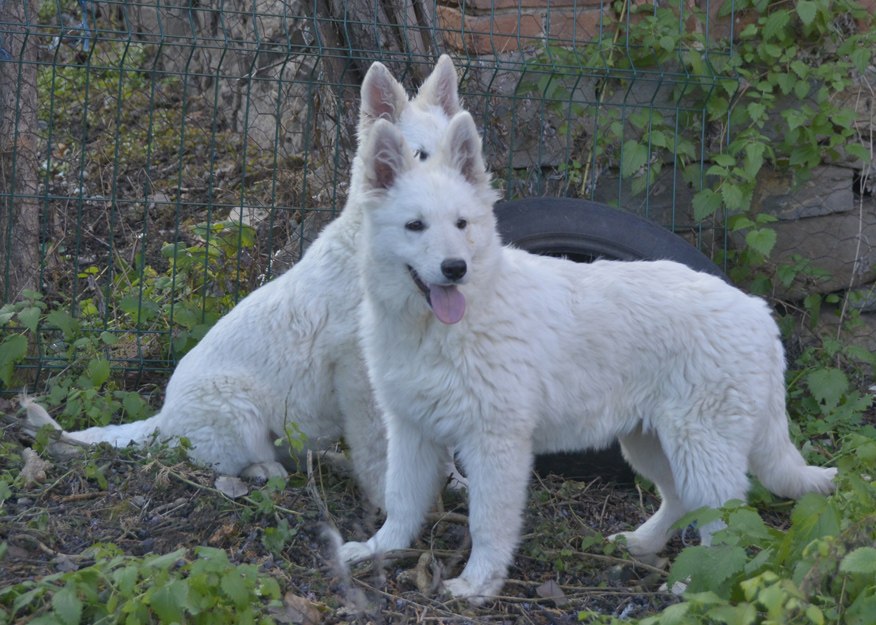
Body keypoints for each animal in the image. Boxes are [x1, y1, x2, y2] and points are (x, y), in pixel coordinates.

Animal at [24, 56, 462, 510]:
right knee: (226, 462)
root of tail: (162, 419)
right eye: (418, 155)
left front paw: (453, 483)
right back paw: (265, 470)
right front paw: (390, 502)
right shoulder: (358, 373)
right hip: (240, 414)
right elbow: (378, 447)